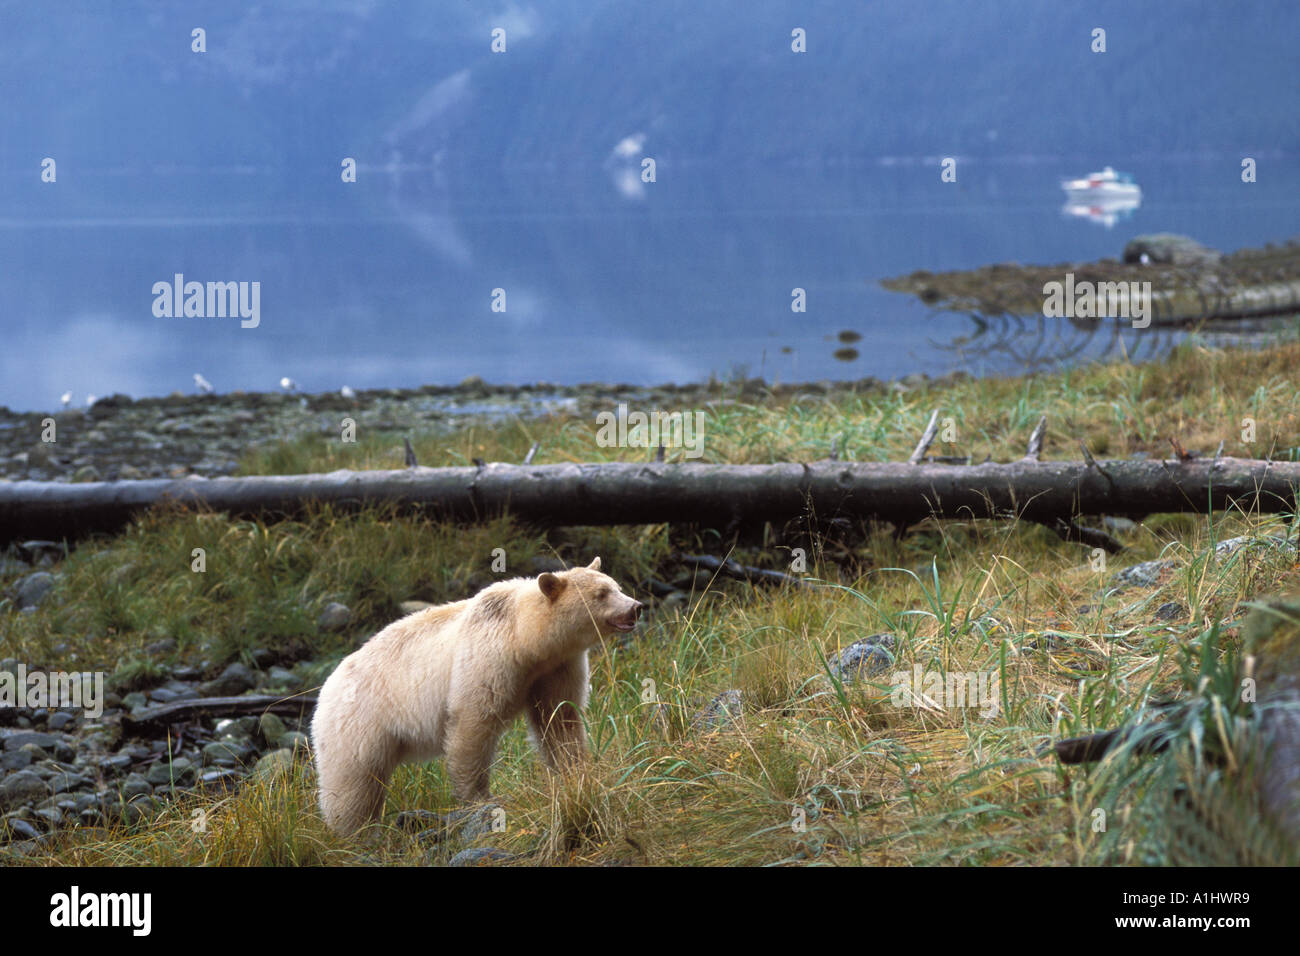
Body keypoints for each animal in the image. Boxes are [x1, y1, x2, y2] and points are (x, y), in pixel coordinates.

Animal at [311, 557, 643, 836]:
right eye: (601, 593)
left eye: (616, 586)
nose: (636, 607)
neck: (524, 637)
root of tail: (327, 686)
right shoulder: (488, 656)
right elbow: (474, 722)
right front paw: (480, 797)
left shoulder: (556, 667)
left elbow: (559, 718)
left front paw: (576, 773)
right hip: (358, 721)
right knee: (354, 778)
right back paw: (354, 830)